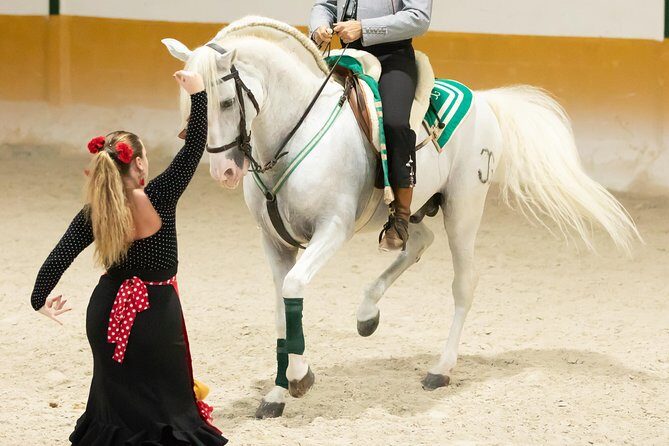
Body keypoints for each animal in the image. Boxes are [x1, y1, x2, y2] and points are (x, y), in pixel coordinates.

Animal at [162, 16, 639, 419]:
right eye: (191, 102)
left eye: (226, 101)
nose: (223, 173)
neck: (294, 133)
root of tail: (483, 101)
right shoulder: (274, 242)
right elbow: (282, 307)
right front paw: (277, 394)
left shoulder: (331, 230)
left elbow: (294, 288)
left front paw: (299, 380)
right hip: (408, 212)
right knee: (415, 241)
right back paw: (366, 314)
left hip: (463, 209)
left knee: (464, 282)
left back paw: (440, 370)